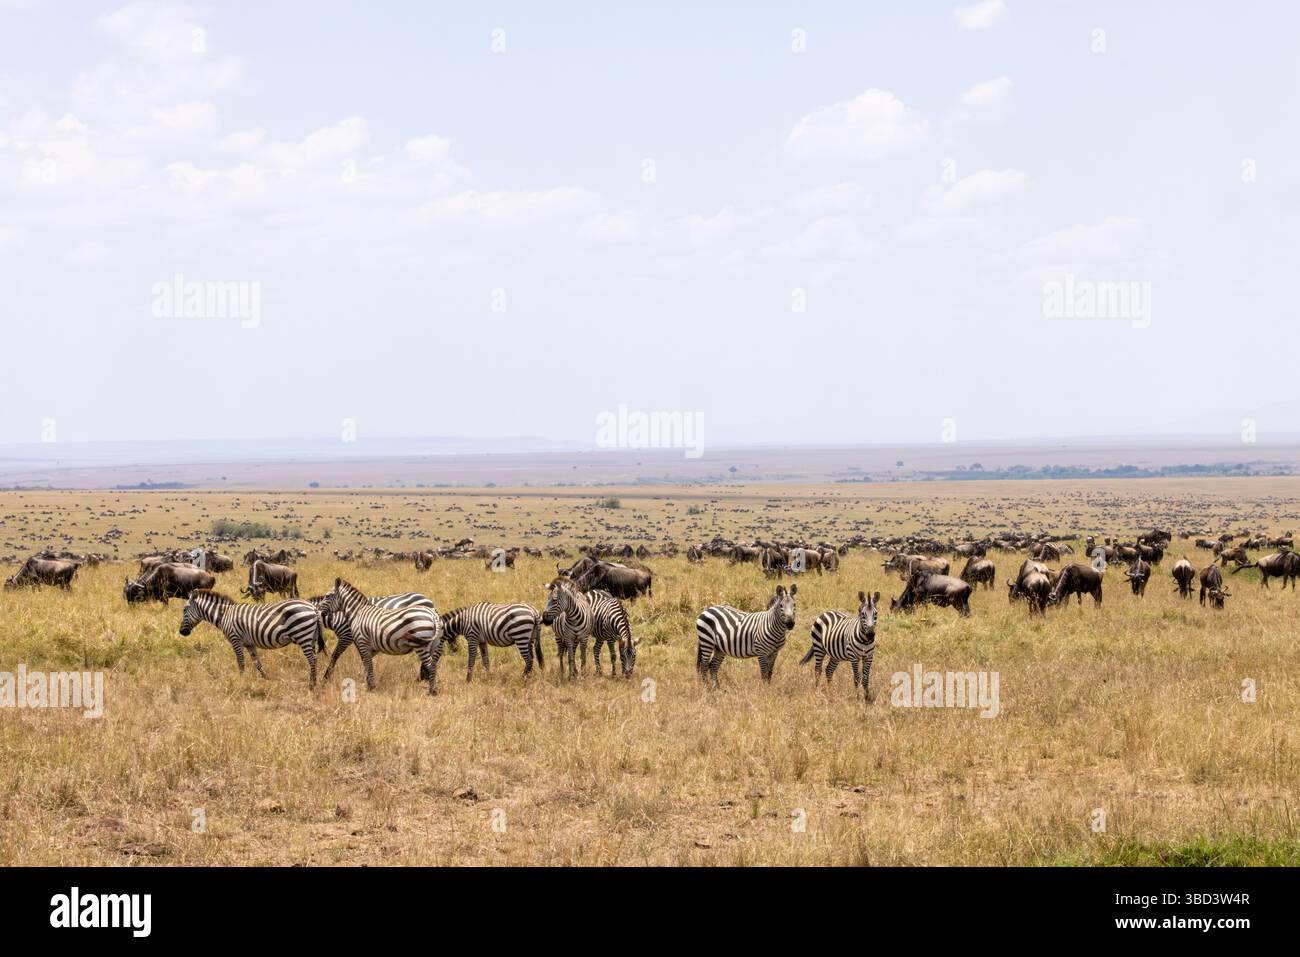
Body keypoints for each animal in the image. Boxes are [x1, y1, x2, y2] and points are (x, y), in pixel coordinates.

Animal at [178, 589, 324, 689]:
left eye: (184, 610)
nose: (181, 632)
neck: (224, 615)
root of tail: (313, 608)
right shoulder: (249, 643)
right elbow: (257, 662)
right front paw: (266, 678)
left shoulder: (235, 639)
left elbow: (241, 662)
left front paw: (241, 680)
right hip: (311, 638)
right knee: (315, 659)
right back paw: (314, 682)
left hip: (303, 635)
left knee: (312, 659)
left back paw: (312, 685)